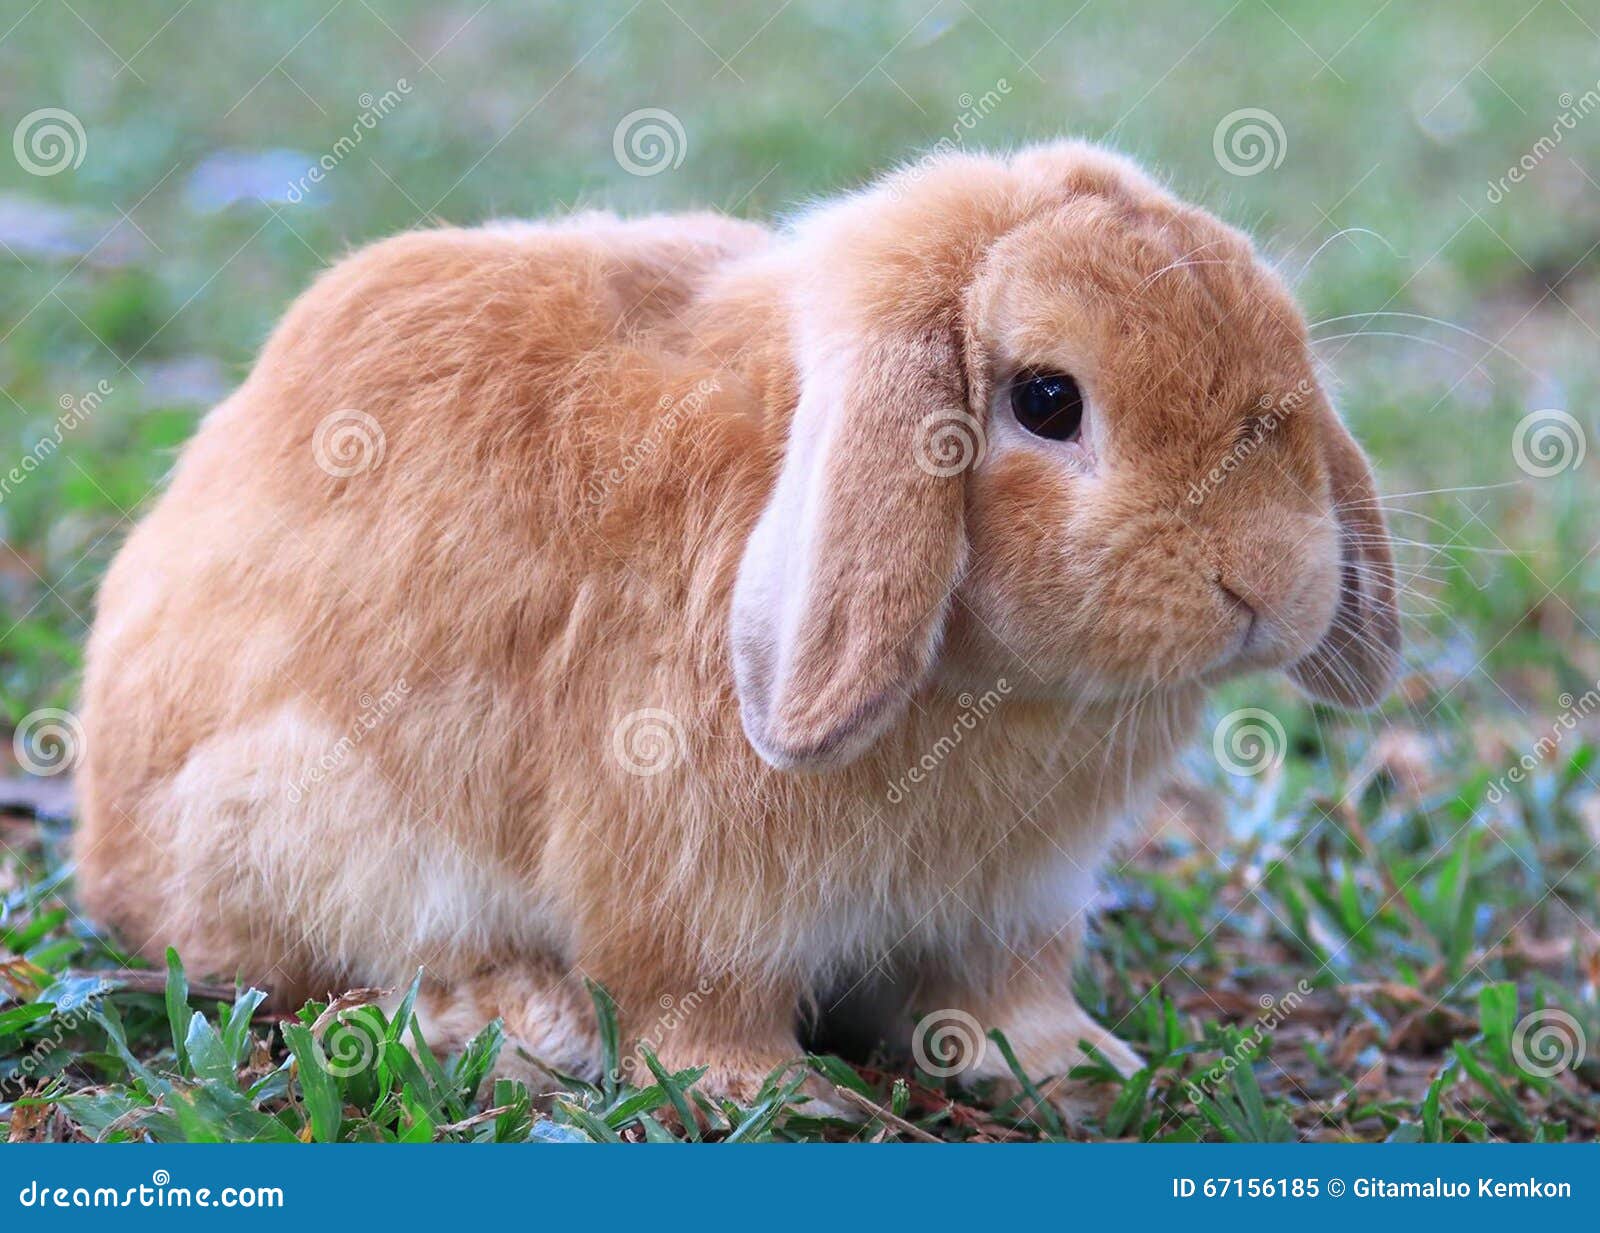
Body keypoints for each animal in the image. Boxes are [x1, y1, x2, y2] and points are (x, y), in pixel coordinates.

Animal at [75, 140, 1397, 1119]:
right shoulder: (691, 883)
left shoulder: (1016, 905)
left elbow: (1005, 993)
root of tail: (107, 849)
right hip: (296, 811)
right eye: (1046, 399)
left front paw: (1070, 1069)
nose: (1265, 581)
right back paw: (519, 1022)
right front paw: (780, 1098)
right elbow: (697, 1003)